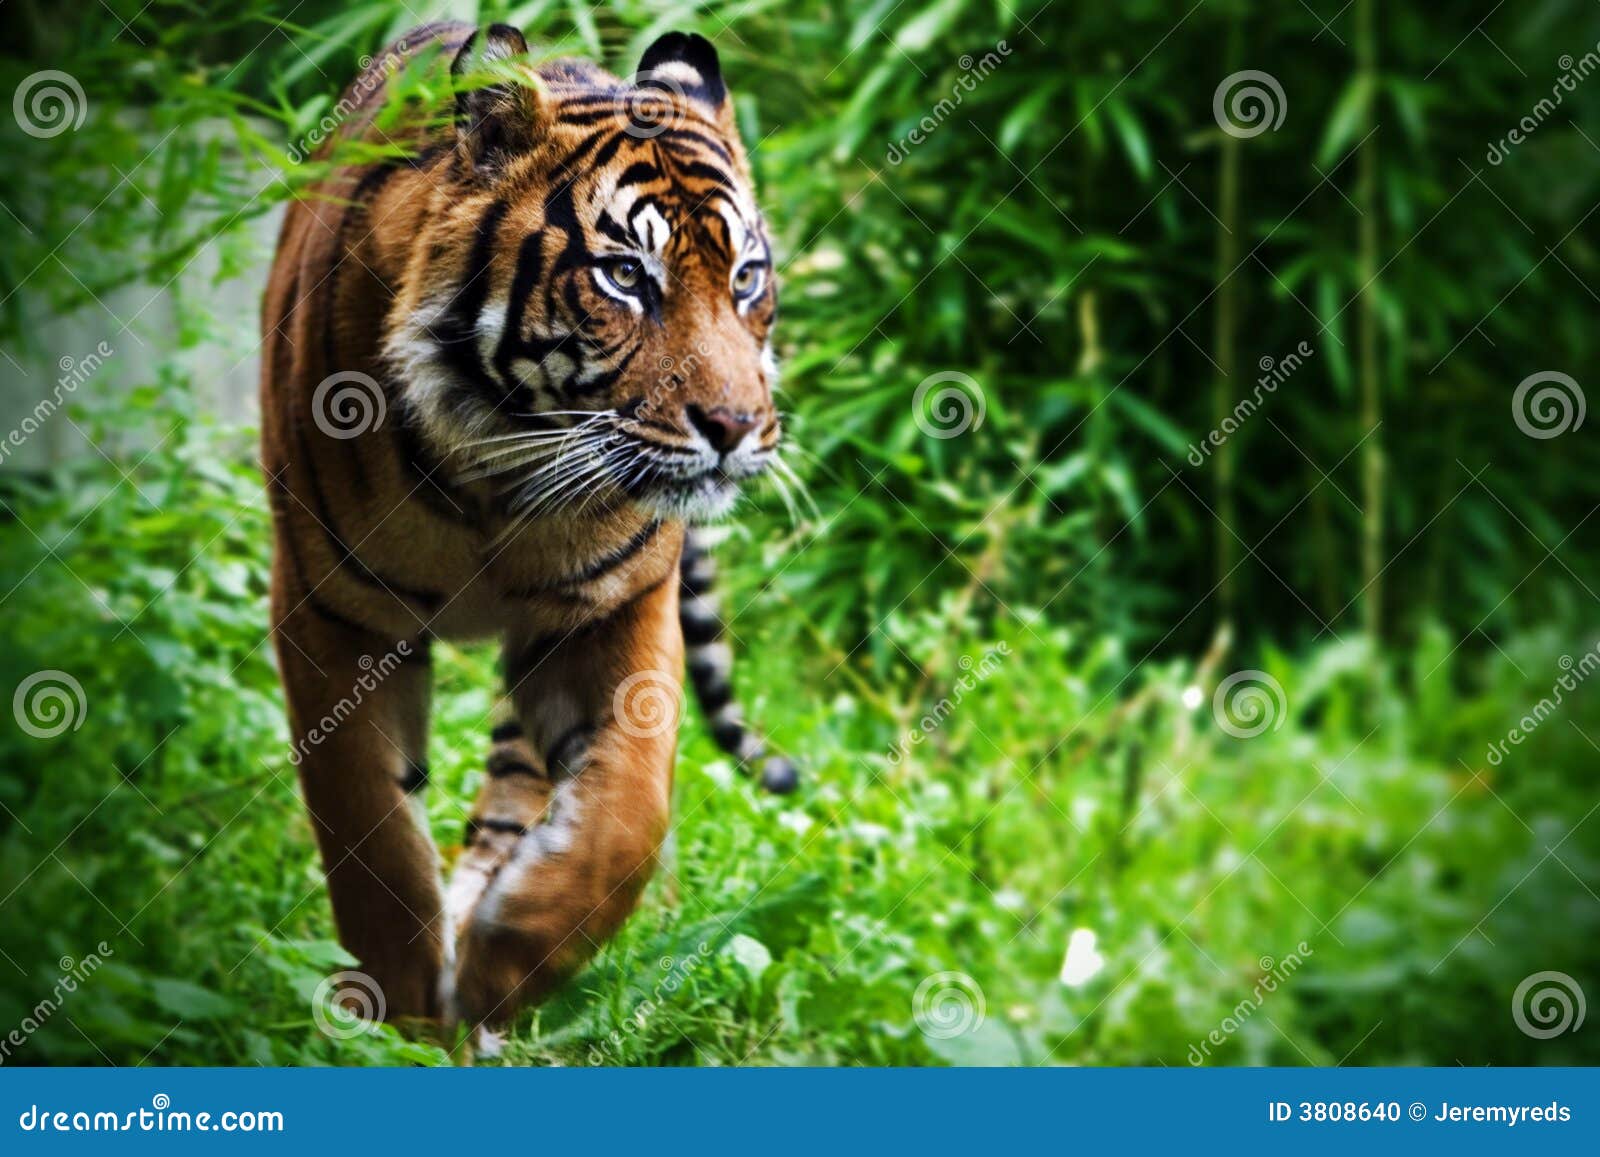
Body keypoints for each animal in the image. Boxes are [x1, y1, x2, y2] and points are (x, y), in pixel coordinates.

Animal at [259, 20, 798, 1041]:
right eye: (626, 276)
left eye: (746, 277)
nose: (738, 426)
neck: (499, 478)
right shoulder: (331, 609)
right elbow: (366, 822)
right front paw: (403, 1015)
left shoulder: (617, 607)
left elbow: (626, 815)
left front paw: (501, 968)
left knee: (520, 783)